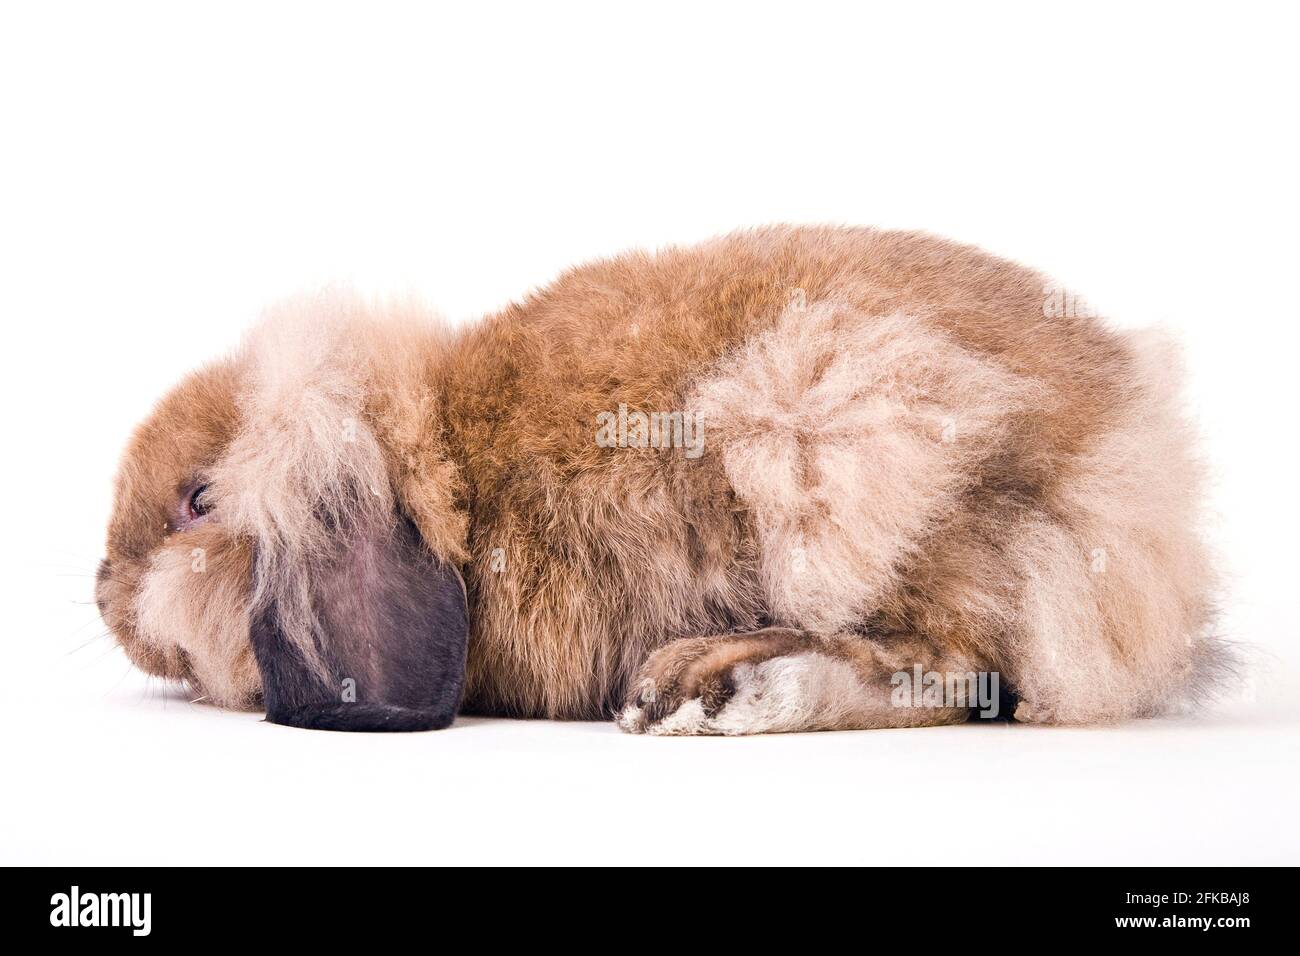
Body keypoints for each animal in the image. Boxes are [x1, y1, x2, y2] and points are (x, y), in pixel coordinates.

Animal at [95, 225, 1229, 734]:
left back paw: (711, 686)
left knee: (956, 668)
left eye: (198, 502)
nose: (105, 592)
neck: (452, 470)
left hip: (839, 444)